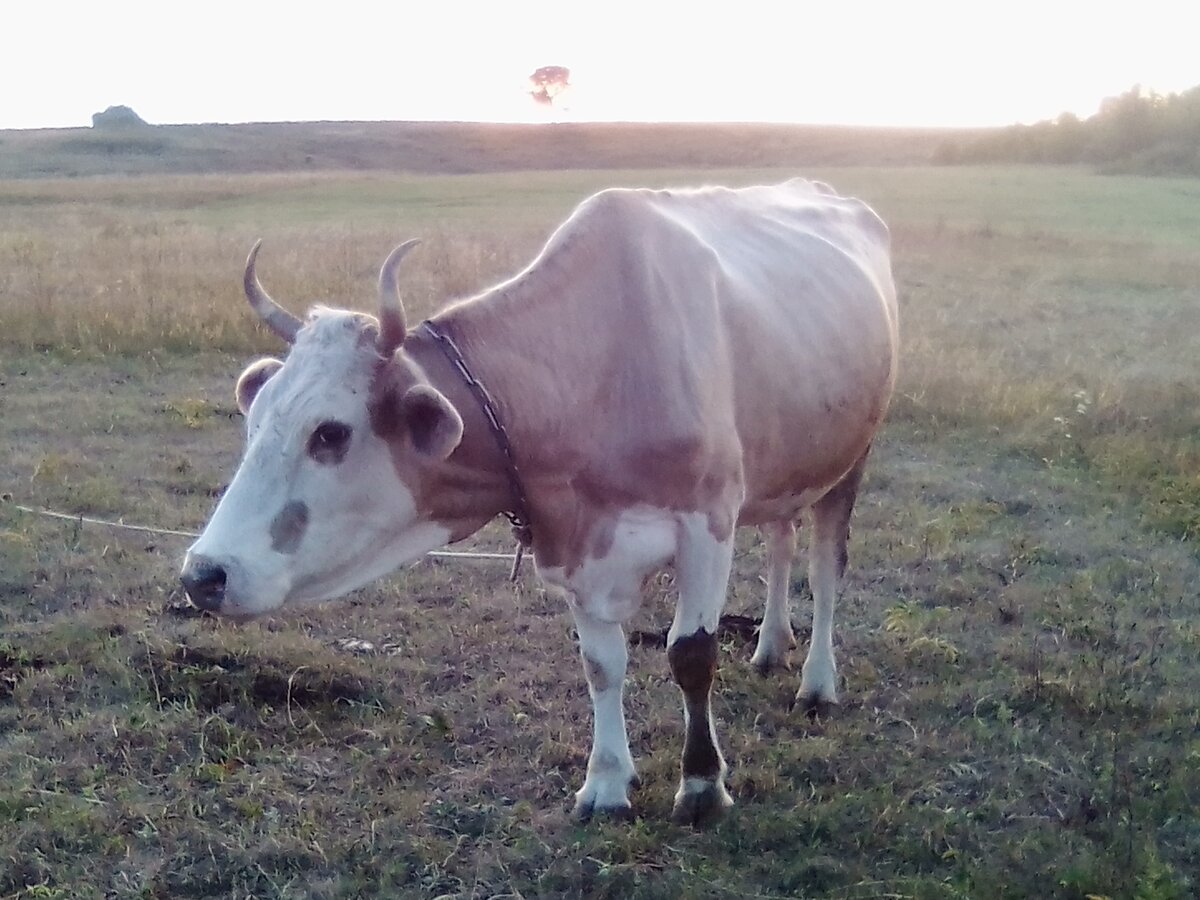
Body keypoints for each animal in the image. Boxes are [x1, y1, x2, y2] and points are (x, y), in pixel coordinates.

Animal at [180, 180, 902, 830]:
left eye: (330, 433)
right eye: (256, 418)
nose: (202, 574)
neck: (598, 367)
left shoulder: (708, 519)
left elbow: (691, 655)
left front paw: (702, 787)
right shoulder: (574, 544)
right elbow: (601, 665)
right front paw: (606, 783)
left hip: (852, 455)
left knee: (824, 569)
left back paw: (817, 682)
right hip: (789, 462)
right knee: (782, 537)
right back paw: (772, 644)